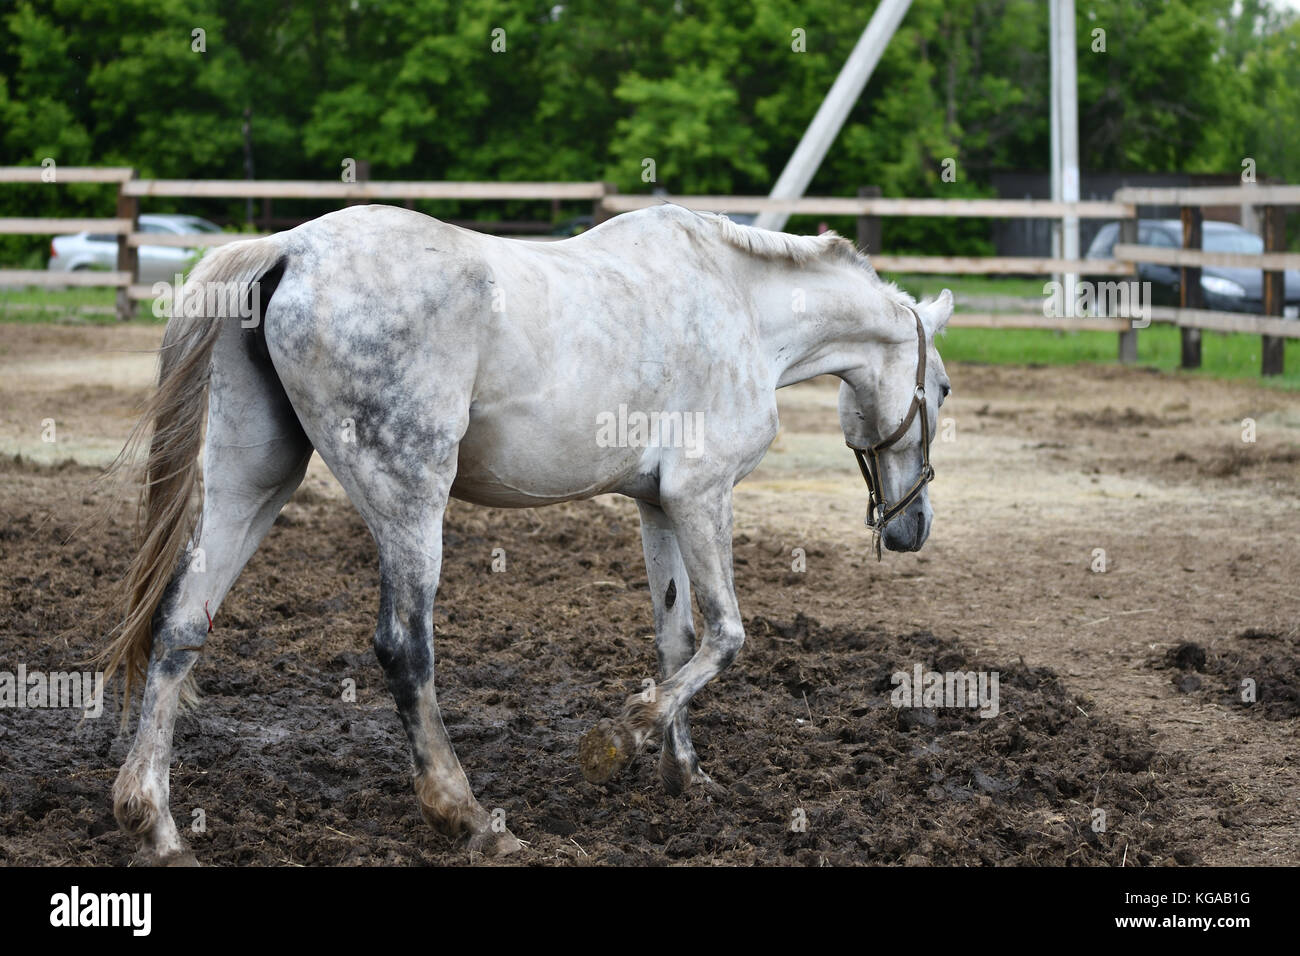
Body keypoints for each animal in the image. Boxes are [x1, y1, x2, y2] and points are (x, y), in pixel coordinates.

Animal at [102, 202, 952, 863]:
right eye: (941, 387)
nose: (911, 528)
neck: (739, 303)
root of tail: (290, 249)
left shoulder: (658, 506)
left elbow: (676, 640)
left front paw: (683, 776)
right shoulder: (702, 495)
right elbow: (726, 637)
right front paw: (619, 740)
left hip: (255, 479)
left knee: (182, 622)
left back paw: (156, 825)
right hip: (408, 500)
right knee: (404, 646)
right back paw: (470, 817)